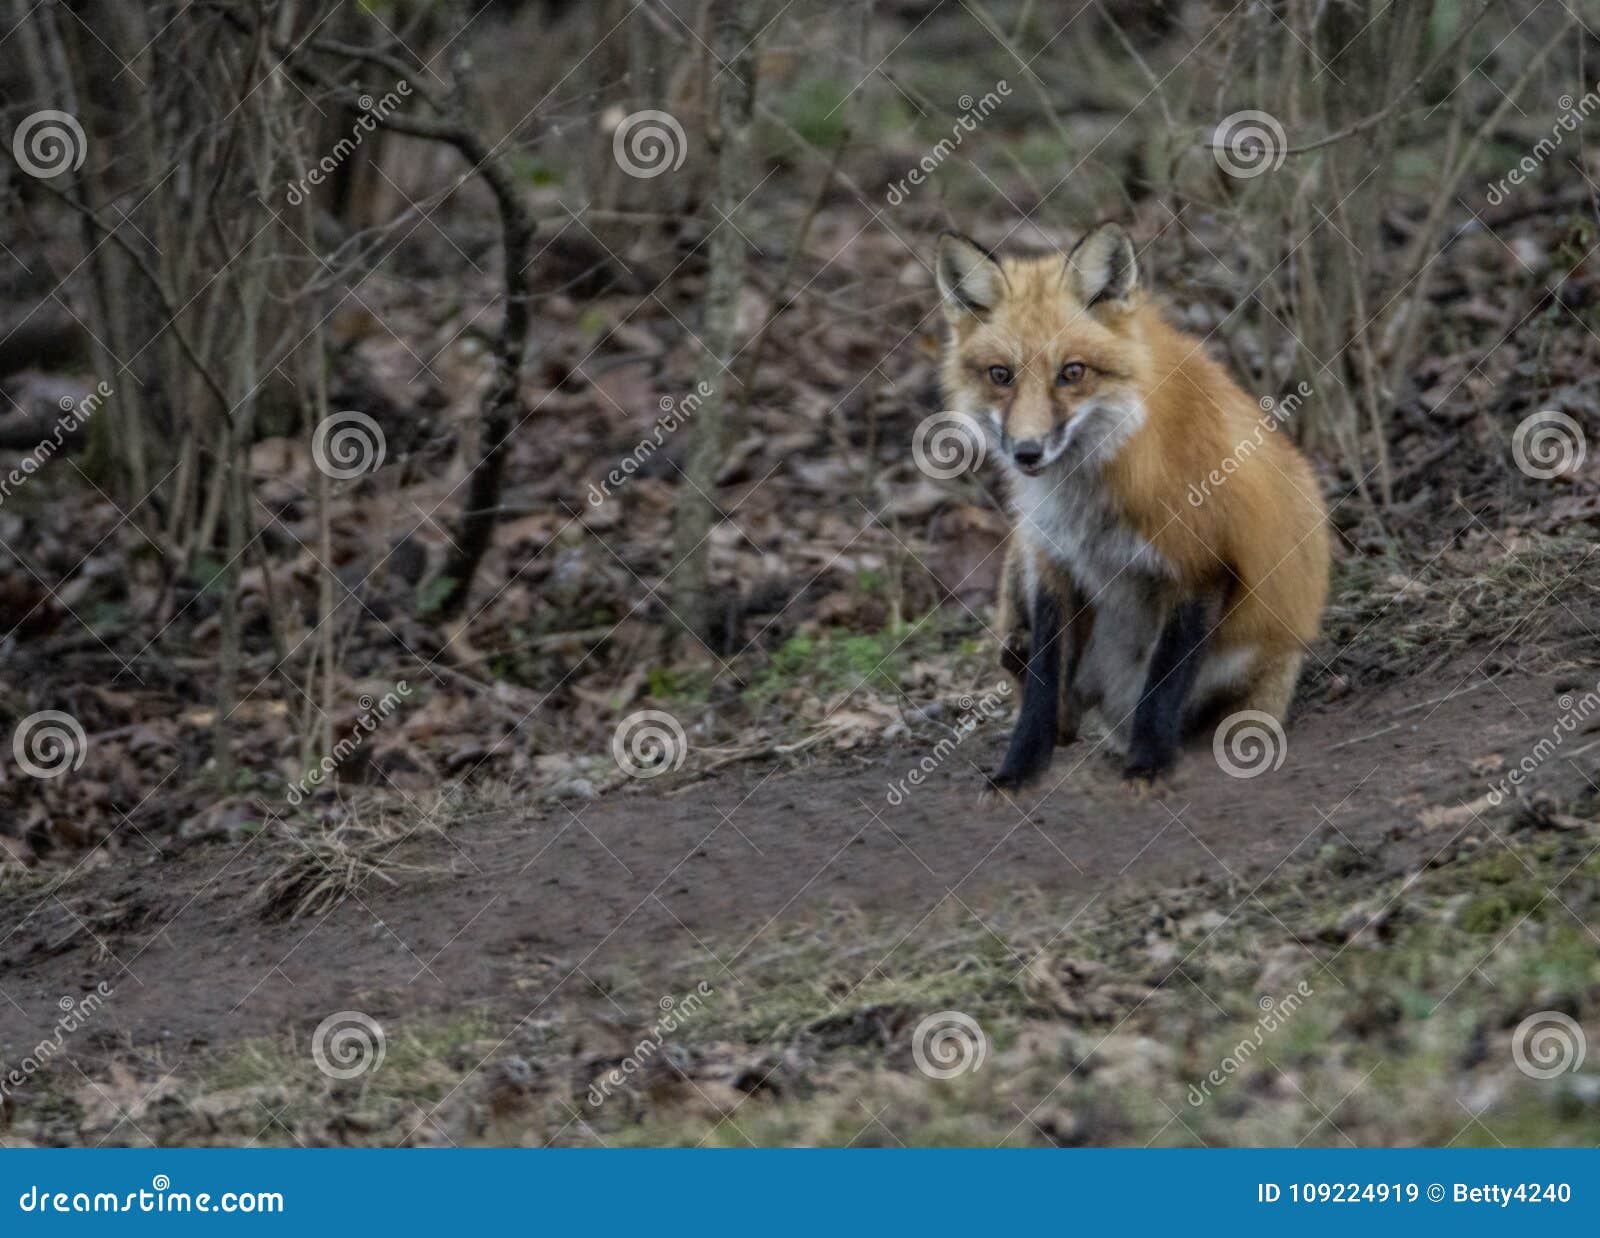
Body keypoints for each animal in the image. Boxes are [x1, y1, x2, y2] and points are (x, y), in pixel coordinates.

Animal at [934, 222, 1329, 791]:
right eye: (1000, 375)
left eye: (1072, 372)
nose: (1027, 451)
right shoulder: (1052, 559)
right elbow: (1042, 684)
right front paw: (1019, 769)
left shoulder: (1202, 562)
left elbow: (1163, 685)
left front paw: (1149, 763)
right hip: (1021, 558)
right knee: (1049, 695)